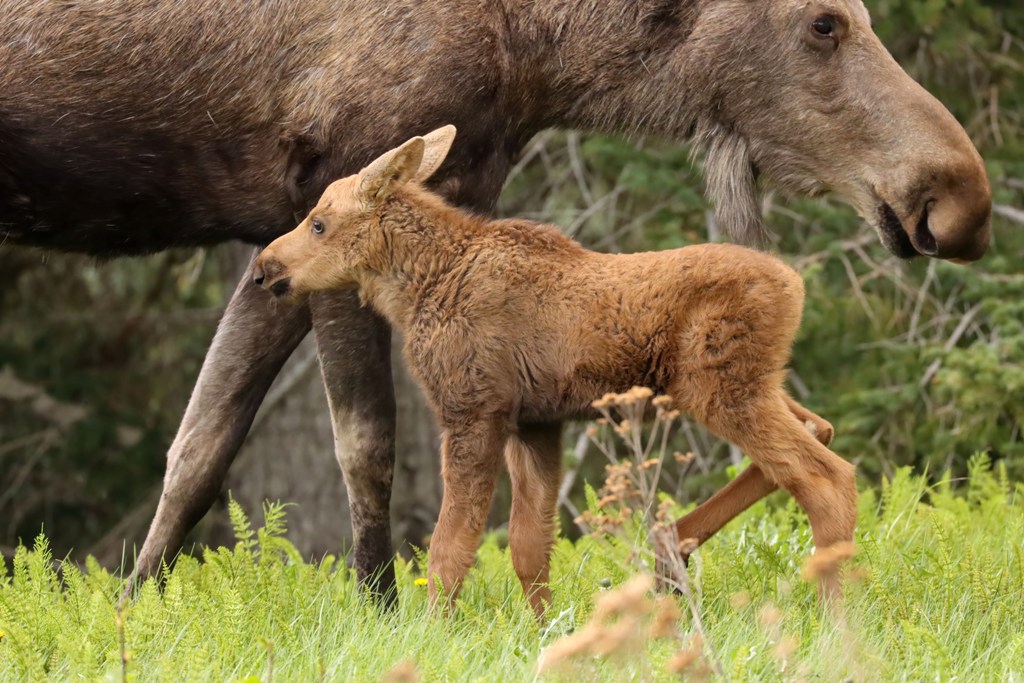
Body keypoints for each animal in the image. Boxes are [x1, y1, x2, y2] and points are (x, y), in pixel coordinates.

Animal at [252, 126, 857, 616]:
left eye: (319, 224)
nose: (264, 269)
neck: (418, 290)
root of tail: (795, 285)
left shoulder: (472, 410)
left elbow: (450, 548)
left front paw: (429, 633)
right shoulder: (536, 422)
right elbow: (527, 549)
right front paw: (546, 630)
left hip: (720, 388)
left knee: (824, 476)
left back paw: (833, 620)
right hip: (749, 384)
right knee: (817, 431)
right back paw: (671, 551)